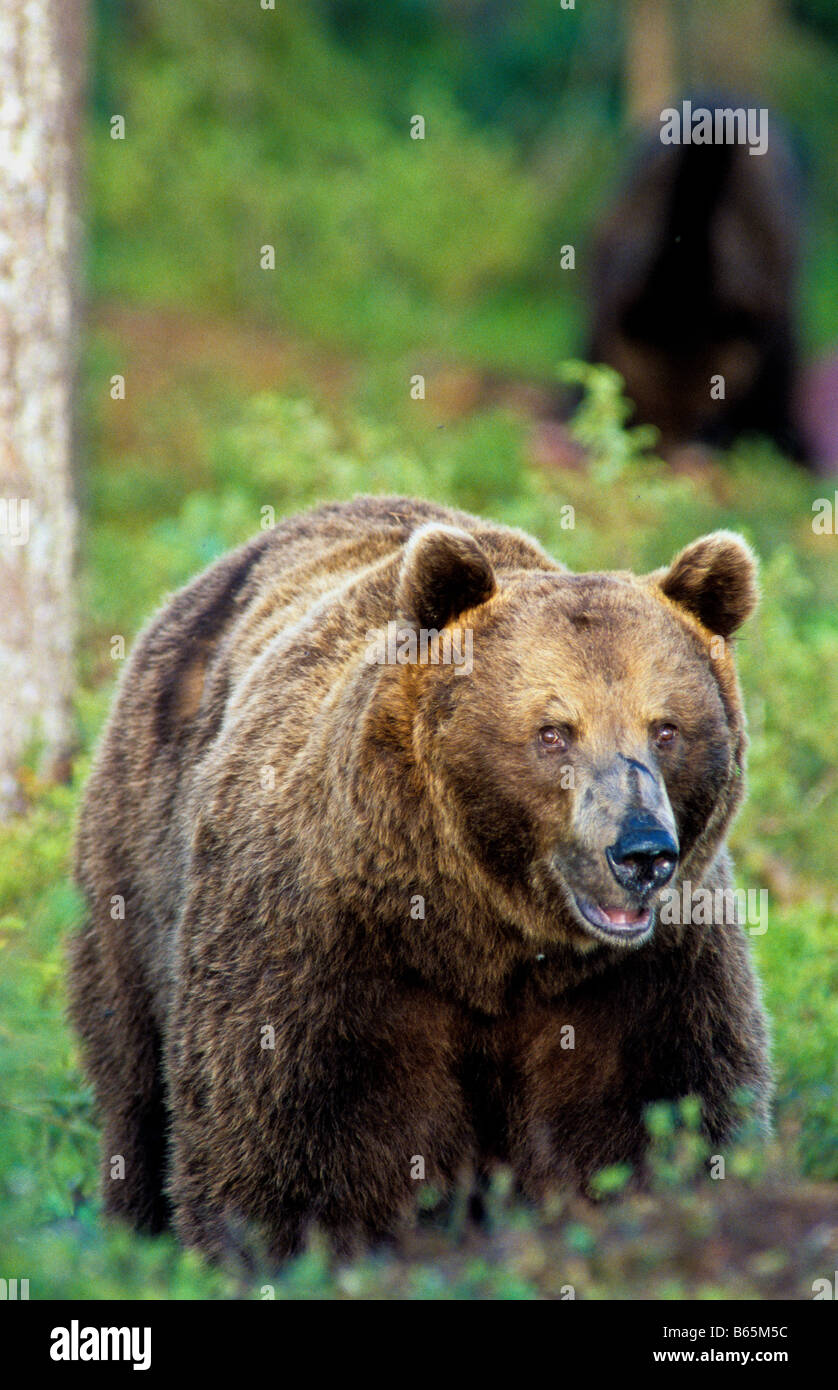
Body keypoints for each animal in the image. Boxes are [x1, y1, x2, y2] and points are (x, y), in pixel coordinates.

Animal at [68, 495, 771, 1260]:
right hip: (136, 869)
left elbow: (662, 1121)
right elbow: (294, 1157)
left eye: (665, 728)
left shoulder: (646, 979)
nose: (642, 853)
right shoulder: (325, 955)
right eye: (553, 731)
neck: (485, 940)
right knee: (134, 1085)